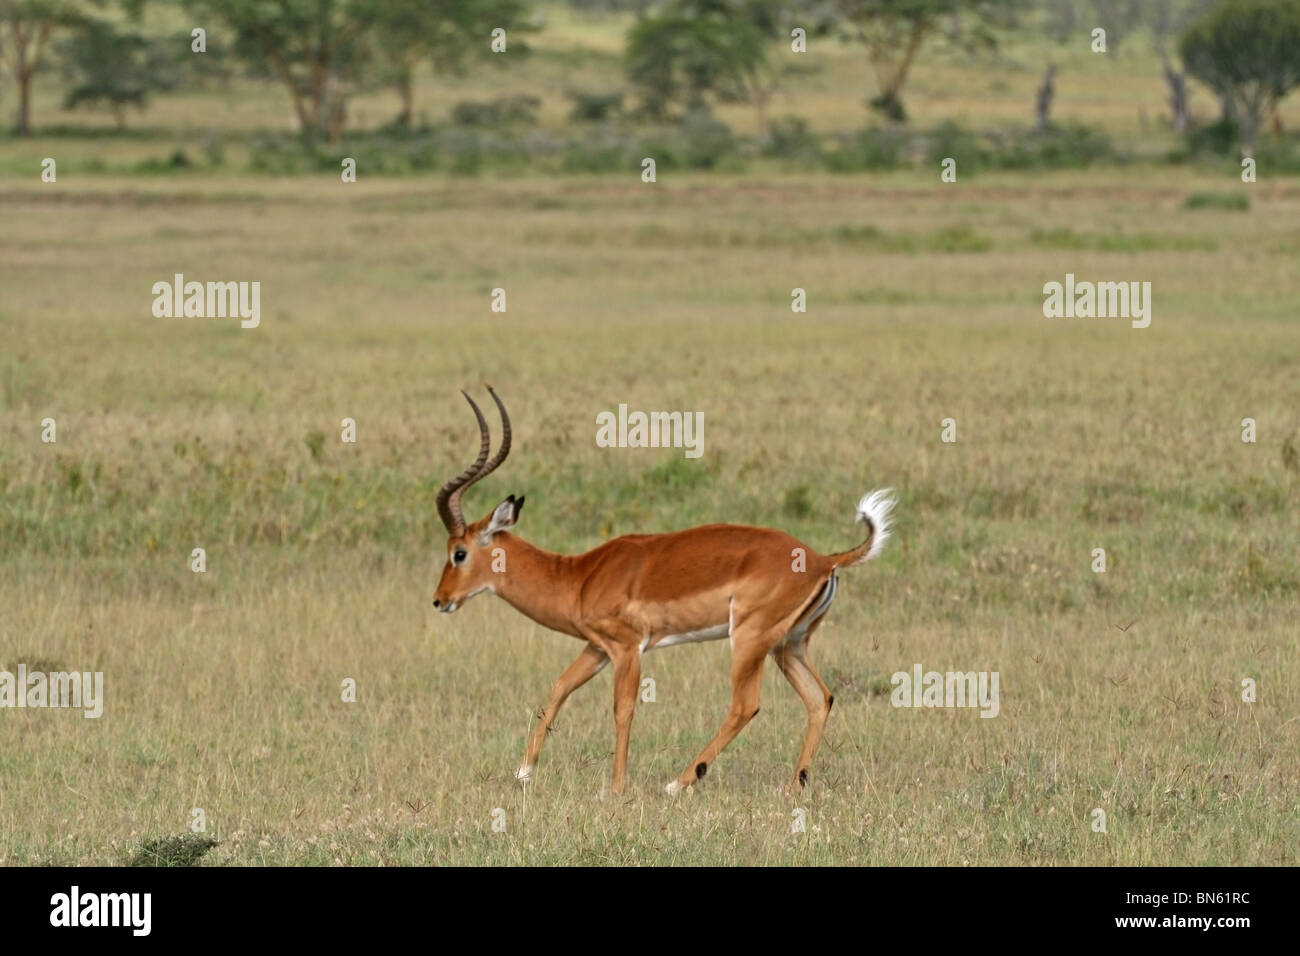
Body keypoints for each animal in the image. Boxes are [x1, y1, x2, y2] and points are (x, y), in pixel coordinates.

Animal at [432, 387, 896, 795]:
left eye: (458, 552)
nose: (439, 600)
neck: (579, 576)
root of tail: (823, 559)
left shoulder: (627, 648)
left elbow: (622, 709)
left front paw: (615, 788)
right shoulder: (597, 648)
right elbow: (558, 689)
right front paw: (524, 771)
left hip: (749, 638)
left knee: (745, 705)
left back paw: (678, 782)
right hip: (789, 644)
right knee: (821, 699)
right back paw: (791, 786)